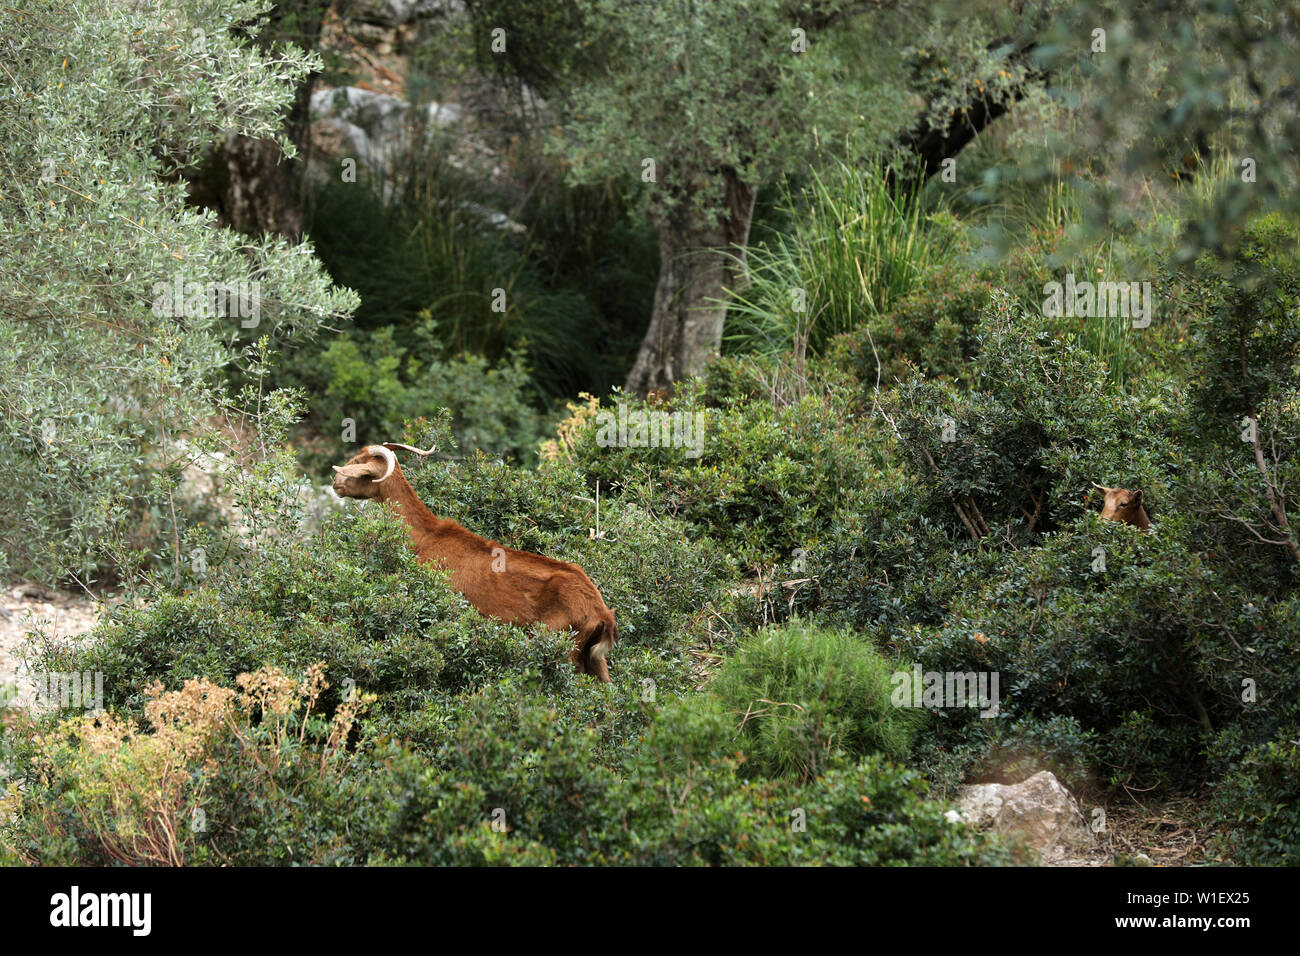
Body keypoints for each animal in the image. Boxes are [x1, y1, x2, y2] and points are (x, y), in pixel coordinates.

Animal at [331, 443, 619, 682]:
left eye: (360, 463)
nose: (335, 483)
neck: (425, 536)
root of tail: (602, 614)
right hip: (595, 658)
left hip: (560, 643)